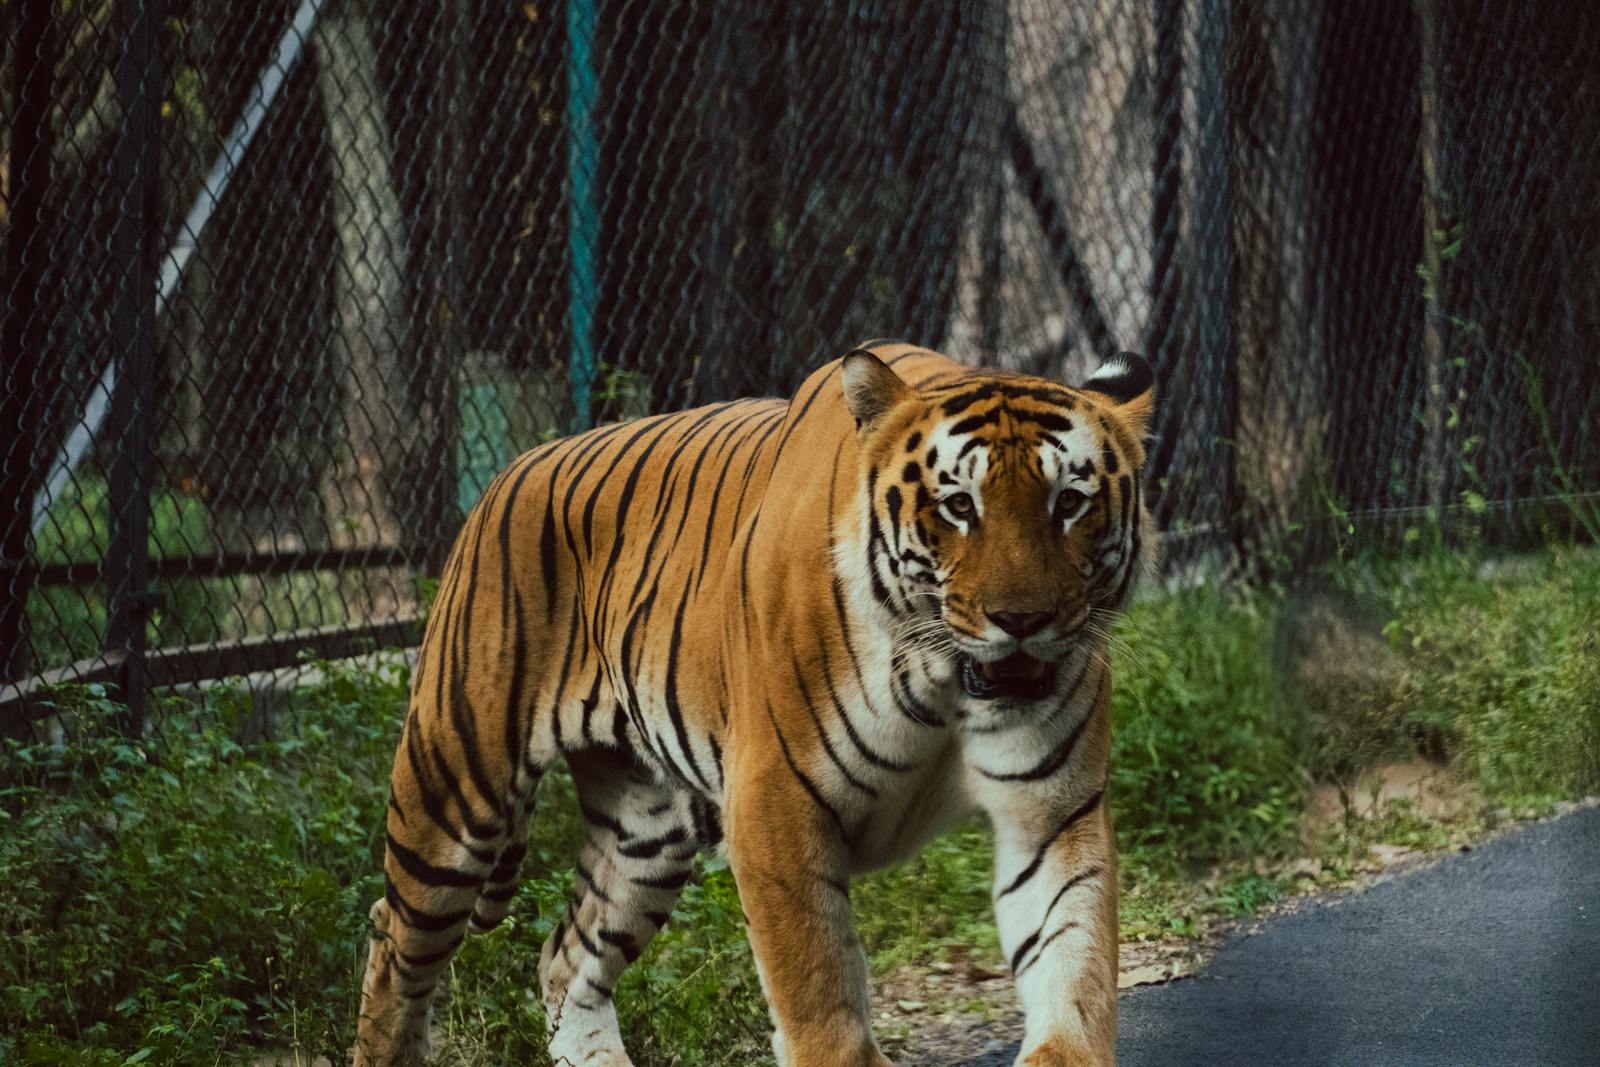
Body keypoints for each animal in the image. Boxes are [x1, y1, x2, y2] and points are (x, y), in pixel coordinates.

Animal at [354, 339, 1155, 1067]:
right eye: (960, 505)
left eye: (1069, 503)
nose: (1022, 620)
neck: (944, 680)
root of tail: (510, 471)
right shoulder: (777, 805)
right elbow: (819, 994)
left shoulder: (1050, 813)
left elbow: (1072, 965)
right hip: (455, 794)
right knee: (393, 939)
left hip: (645, 838)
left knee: (564, 958)